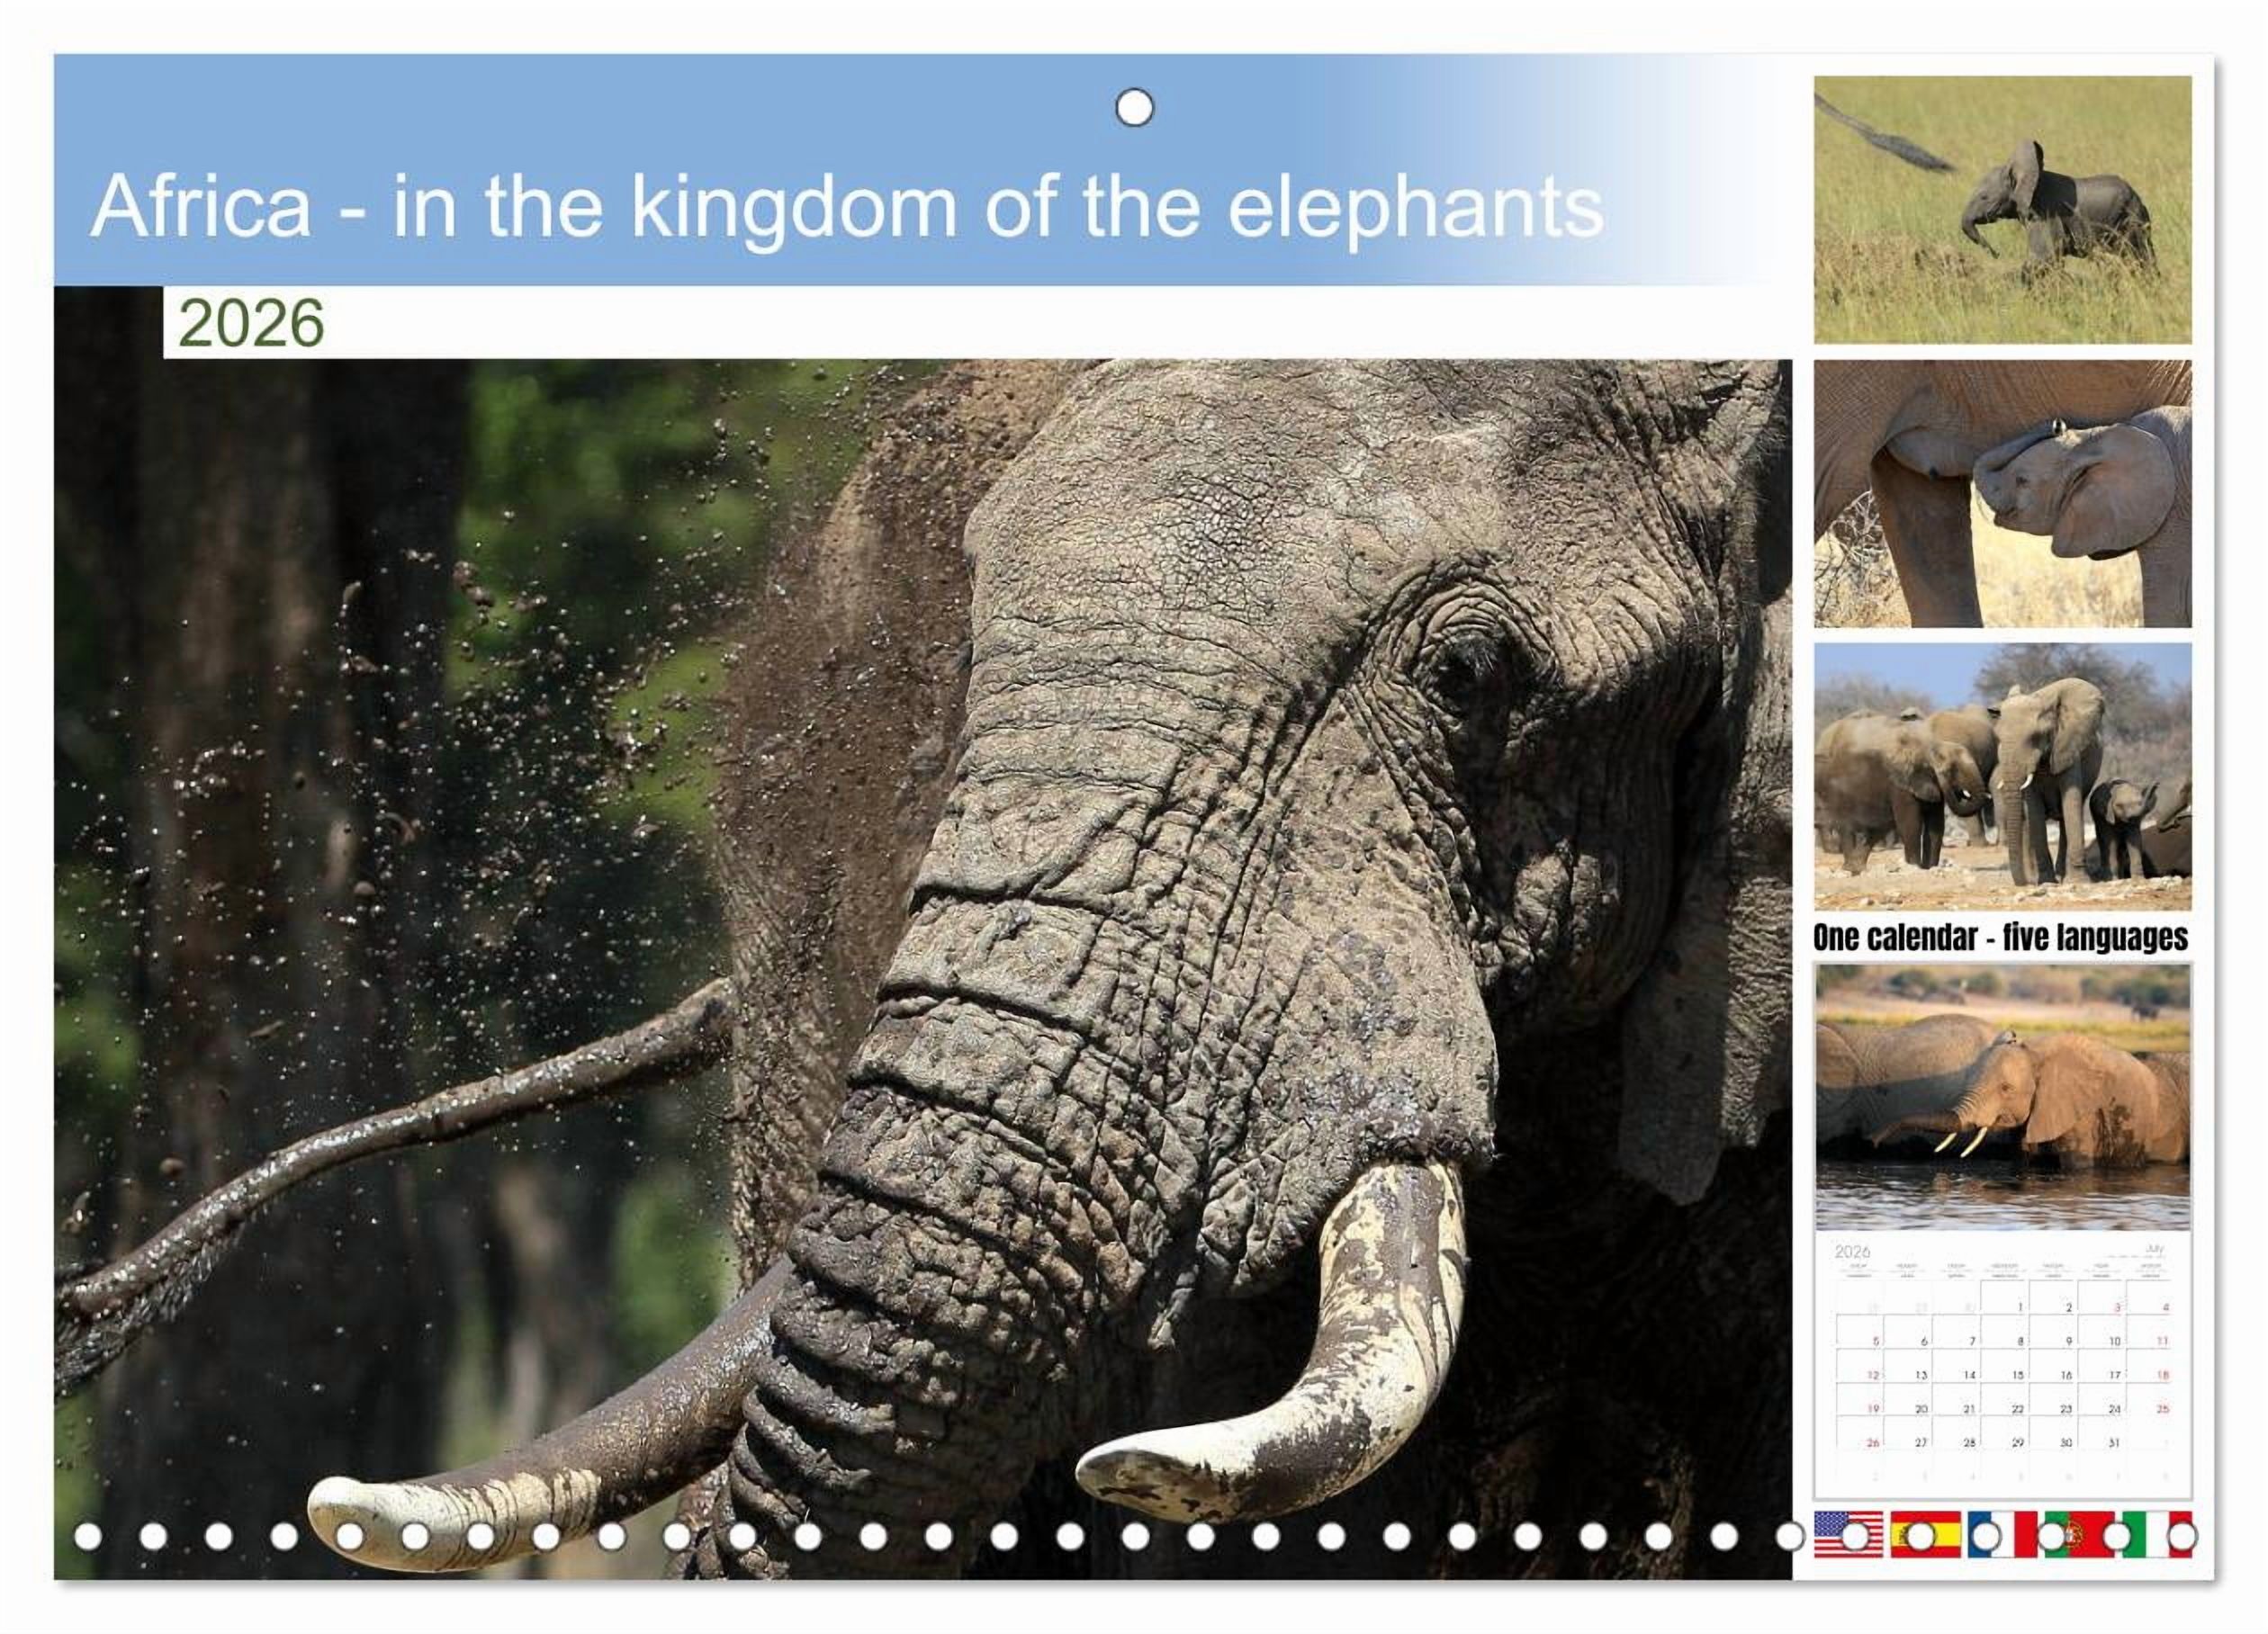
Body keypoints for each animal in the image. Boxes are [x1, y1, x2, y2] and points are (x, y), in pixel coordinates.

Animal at [1814, 709, 1988, 874]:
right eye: (1953, 770)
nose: (1960, 791)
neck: (1925, 747)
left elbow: (1936, 826)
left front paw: (1929, 868)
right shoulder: (1901, 788)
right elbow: (1911, 824)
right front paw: (1915, 867)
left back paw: (1854, 867)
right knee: (1848, 827)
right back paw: (1851, 868)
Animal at [1958, 140, 2155, 270]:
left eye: (1984, 197)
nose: (1997, 255)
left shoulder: (2045, 213)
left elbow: (2043, 257)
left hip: (2131, 219)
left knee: (2138, 257)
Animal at [1989, 677, 2104, 886]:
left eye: (2035, 737)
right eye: (1997, 738)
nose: (2023, 883)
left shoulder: (2068, 749)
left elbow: (2071, 803)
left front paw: (2078, 882)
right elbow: (2034, 811)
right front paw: (2046, 882)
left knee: (2067, 817)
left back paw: (2062, 876)